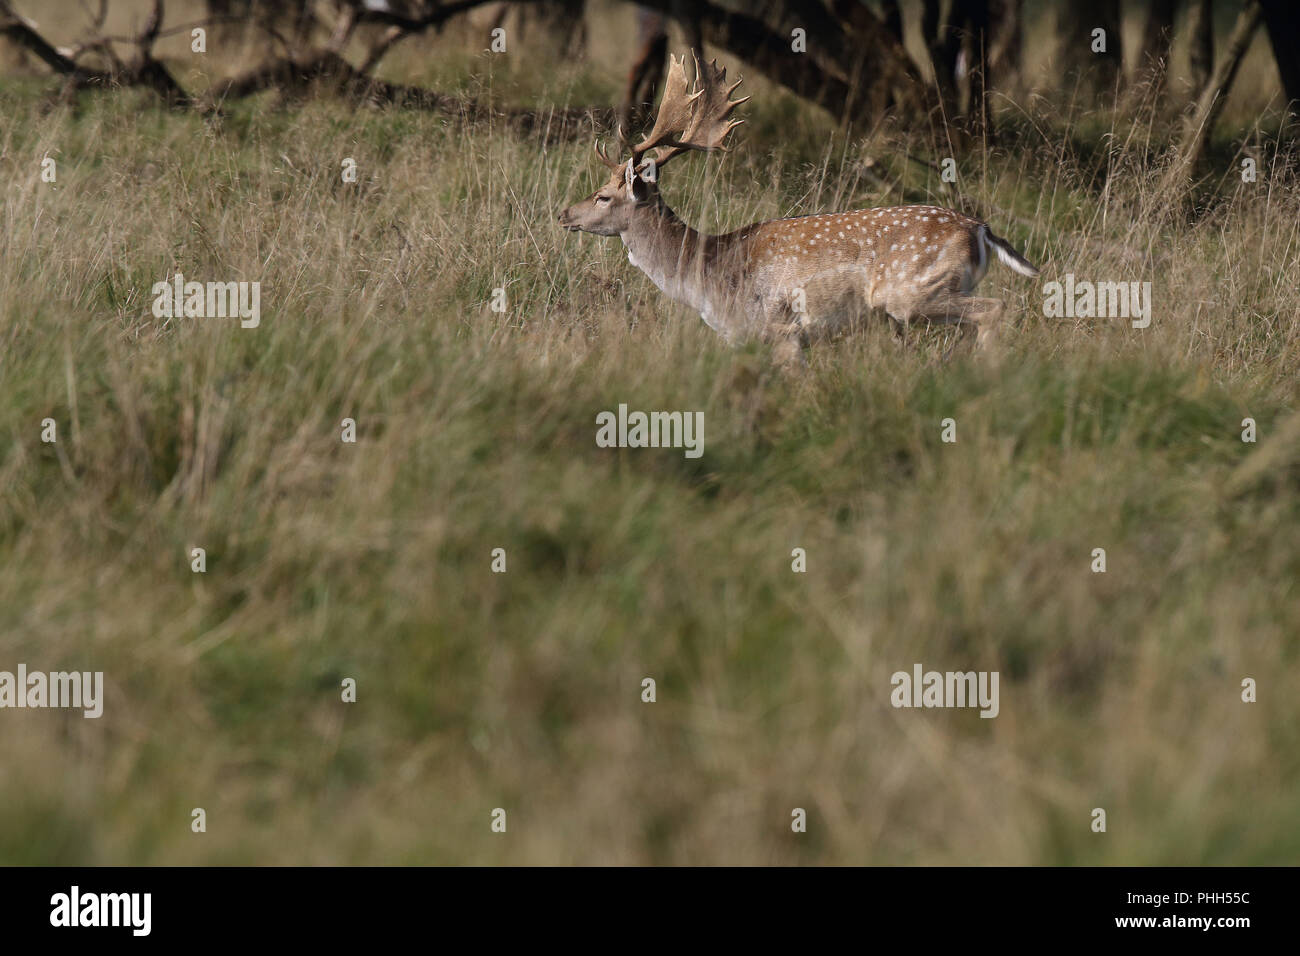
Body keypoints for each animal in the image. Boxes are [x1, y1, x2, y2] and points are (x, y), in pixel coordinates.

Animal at [557, 52, 1040, 364]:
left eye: (603, 195)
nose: (564, 214)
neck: (706, 276)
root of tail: (980, 230)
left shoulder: (781, 329)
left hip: (913, 290)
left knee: (996, 309)